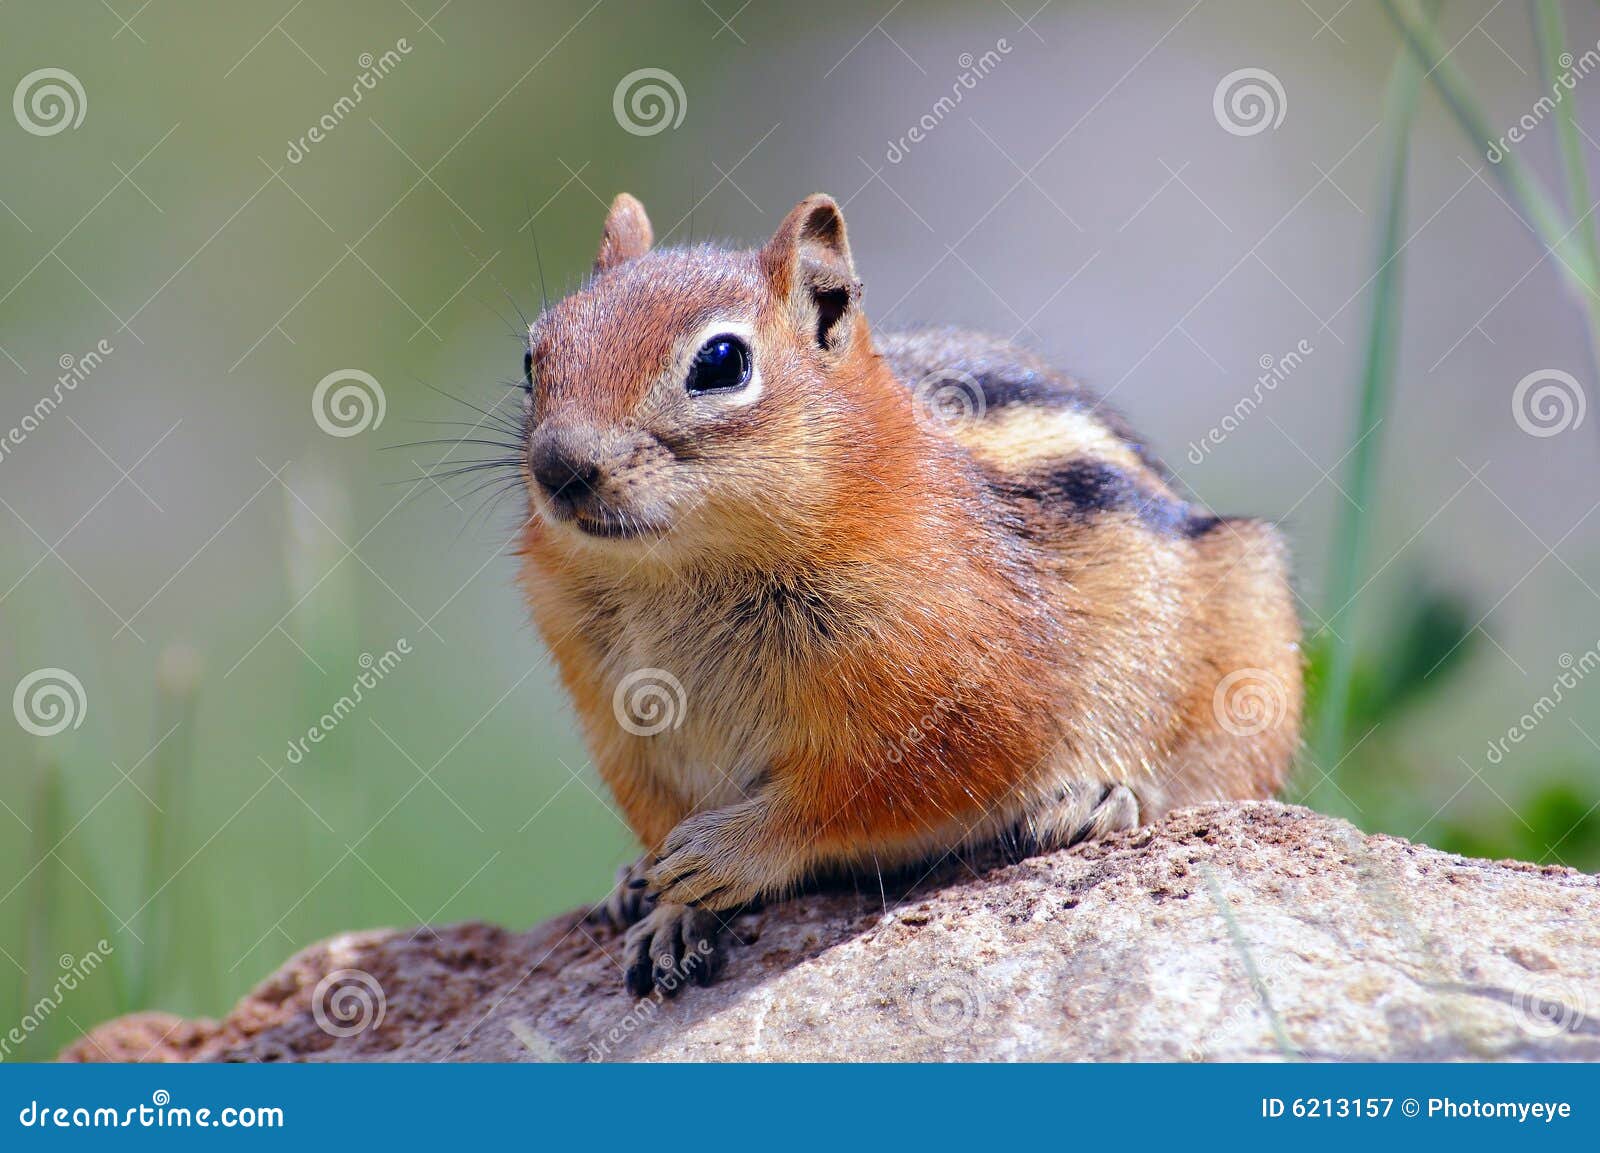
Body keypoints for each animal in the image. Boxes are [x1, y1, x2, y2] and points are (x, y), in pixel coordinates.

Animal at [514, 192, 1302, 997]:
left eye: (722, 361)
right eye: (532, 356)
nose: (559, 467)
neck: (677, 571)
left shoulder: (969, 688)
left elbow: (869, 790)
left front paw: (735, 847)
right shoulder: (626, 730)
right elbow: (661, 816)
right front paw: (672, 913)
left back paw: (1100, 800)